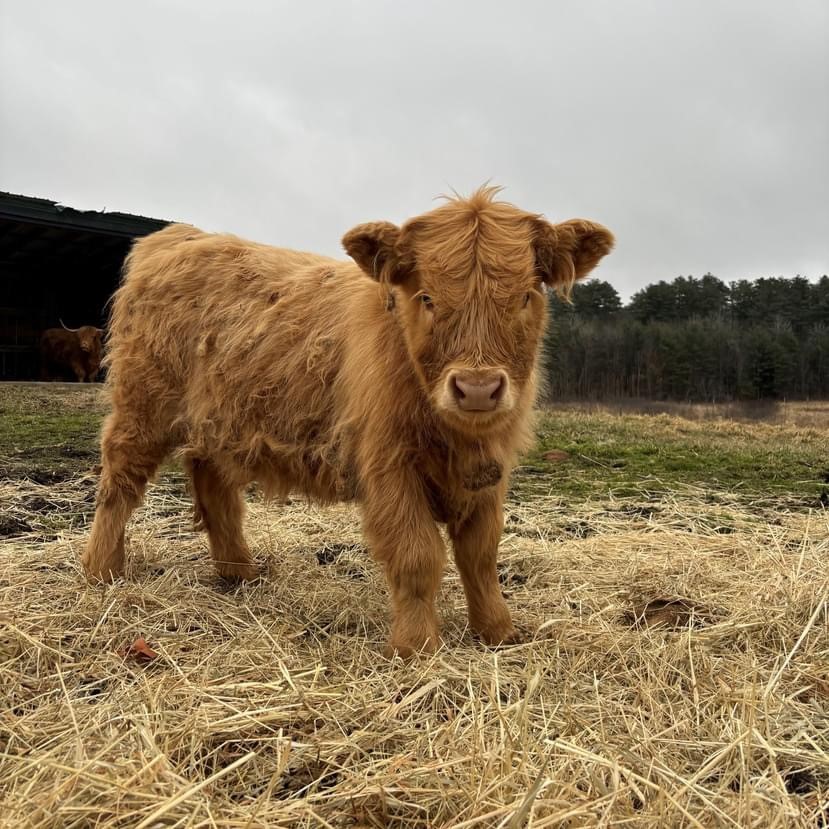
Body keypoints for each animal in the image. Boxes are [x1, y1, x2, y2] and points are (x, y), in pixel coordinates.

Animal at [82, 186, 613, 657]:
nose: (478, 387)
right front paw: (417, 647)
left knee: (215, 488)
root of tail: (181, 237)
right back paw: (102, 570)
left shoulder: (489, 472)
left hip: (219, 419)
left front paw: (499, 632)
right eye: (426, 297)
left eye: (525, 296)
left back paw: (239, 573)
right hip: (142, 408)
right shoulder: (389, 467)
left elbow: (480, 555)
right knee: (119, 486)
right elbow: (417, 555)